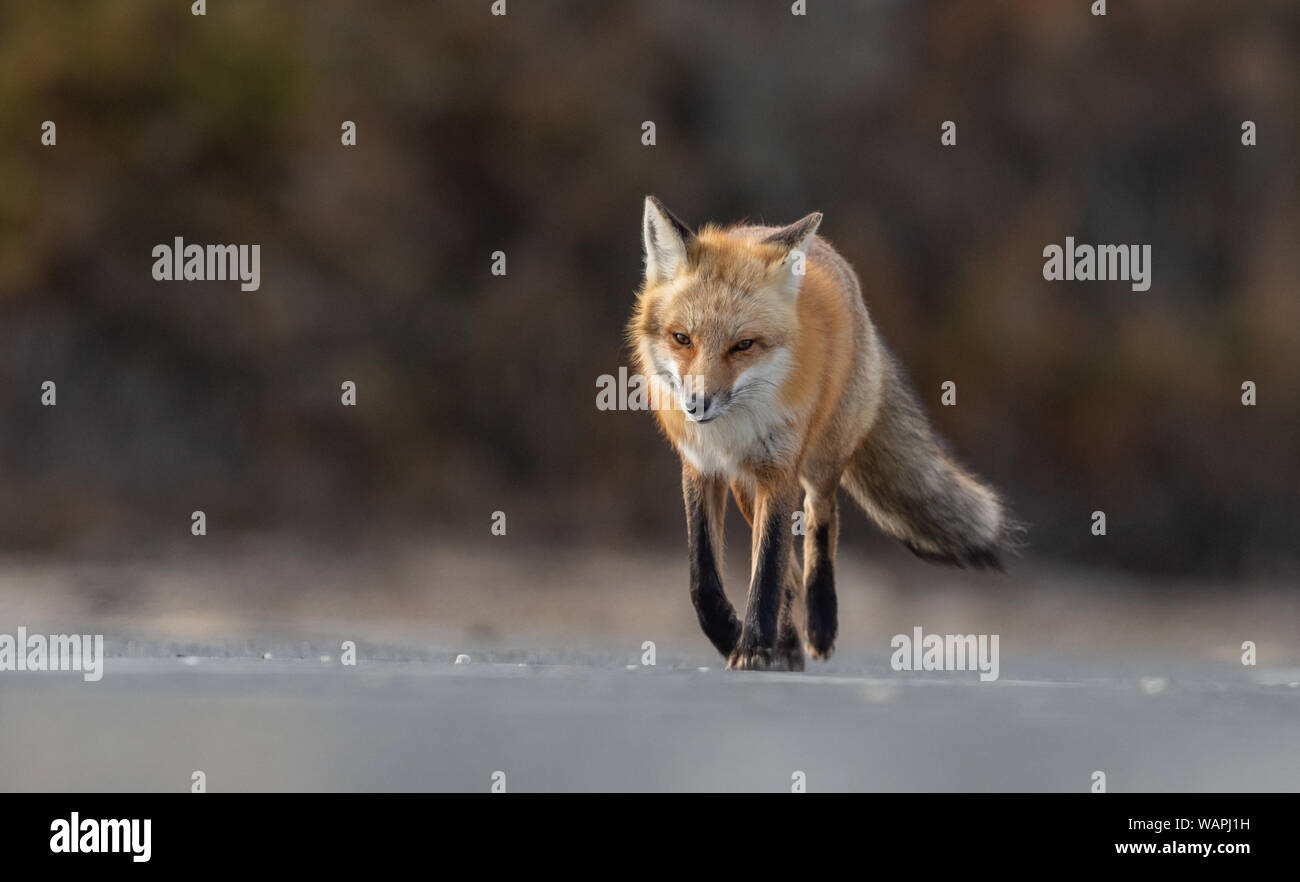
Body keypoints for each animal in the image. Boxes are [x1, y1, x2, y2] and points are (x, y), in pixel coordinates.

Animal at [628, 196, 1020, 671]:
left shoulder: (779, 472)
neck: (730, 431)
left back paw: (818, 624)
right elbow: (704, 576)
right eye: (682, 338)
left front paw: (753, 646)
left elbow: (768, 566)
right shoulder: (701, 467)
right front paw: (730, 633)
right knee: (789, 565)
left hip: (818, 463)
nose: (696, 404)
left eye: (743, 345)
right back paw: (788, 642)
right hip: (746, 488)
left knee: (820, 522)